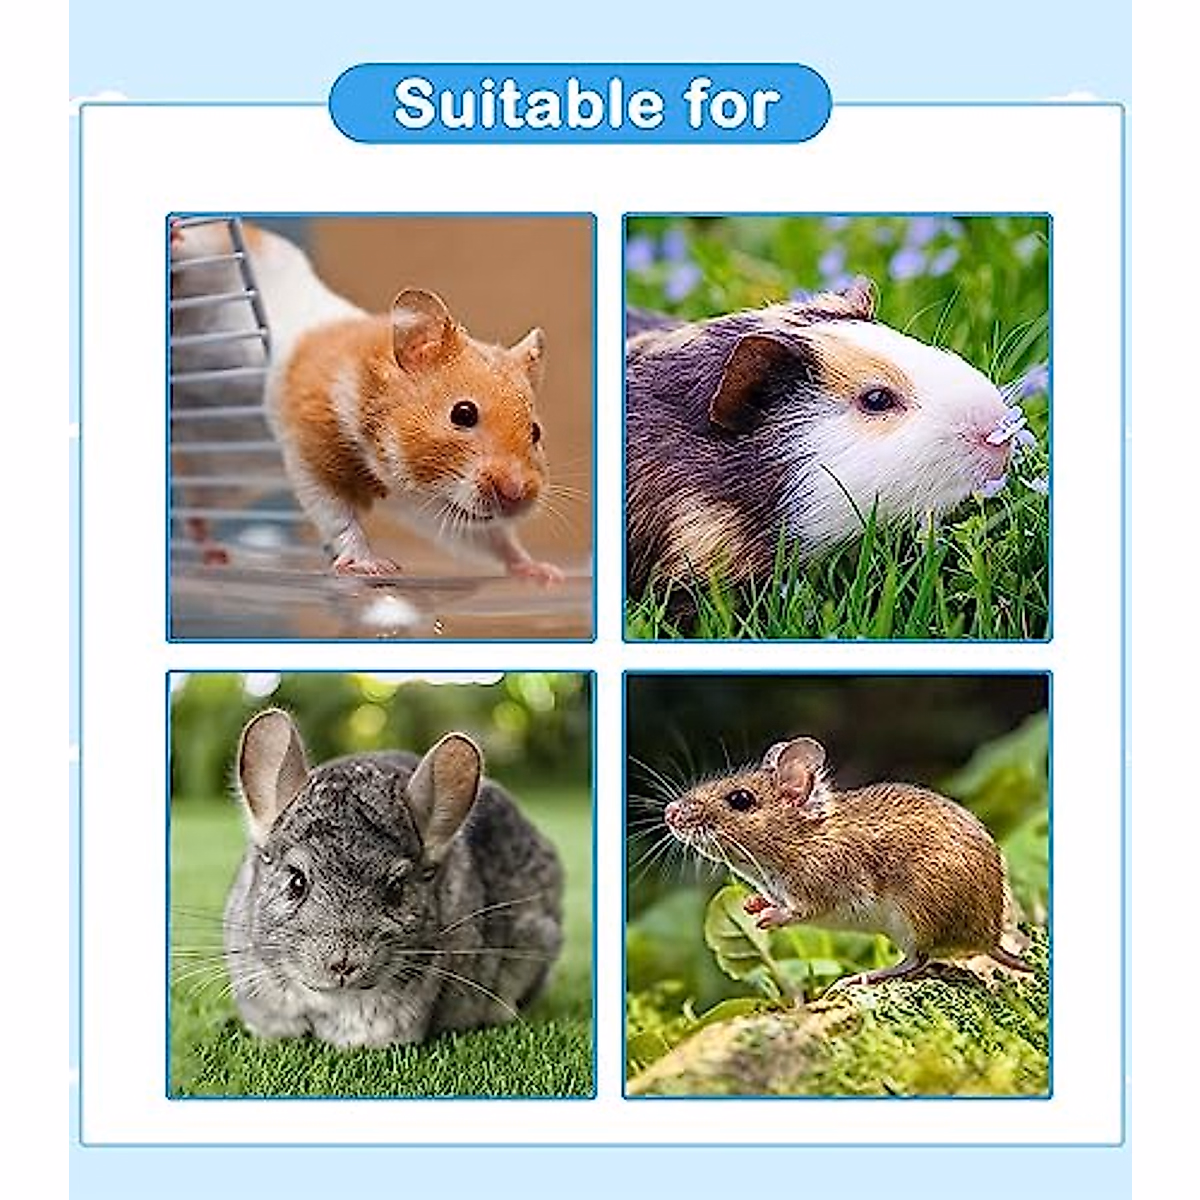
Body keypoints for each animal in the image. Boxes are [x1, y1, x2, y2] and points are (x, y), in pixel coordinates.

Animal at [170, 220, 563, 581]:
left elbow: (493, 540)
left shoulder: (428, 507)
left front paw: (544, 573)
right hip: (224, 254)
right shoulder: (310, 448)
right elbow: (338, 517)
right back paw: (177, 234)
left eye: (536, 432)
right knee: (197, 250)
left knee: (196, 510)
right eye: (463, 414)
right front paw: (375, 566)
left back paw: (214, 552)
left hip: (229, 478)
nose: (517, 494)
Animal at [662, 735, 1031, 987]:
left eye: (740, 799)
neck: (801, 838)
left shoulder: (819, 891)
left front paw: (768, 918)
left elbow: (795, 912)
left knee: (916, 961)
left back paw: (860, 977)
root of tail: (989, 939)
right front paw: (753, 905)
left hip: (912, 917)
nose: (669, 813)